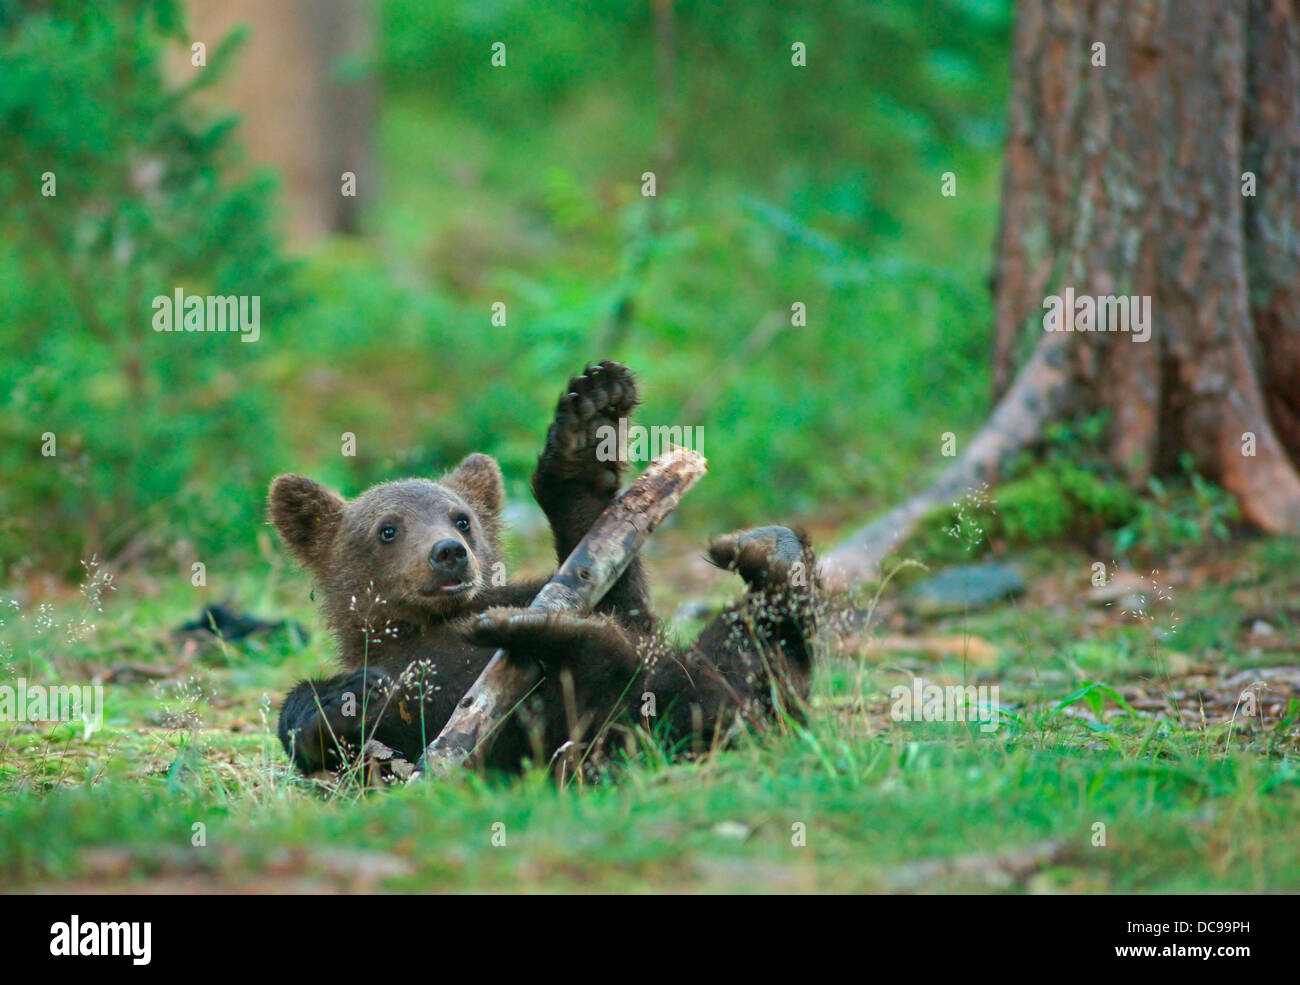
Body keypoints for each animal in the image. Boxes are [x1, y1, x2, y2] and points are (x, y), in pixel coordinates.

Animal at [270, 361, 818, 777]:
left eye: (461, 518)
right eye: (387, 529)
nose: (448, 552)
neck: (434, 621)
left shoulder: (537, 593)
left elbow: (623, 598)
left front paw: (587, 428)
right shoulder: (402, 699)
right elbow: (339, 731)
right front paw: (341, 698)